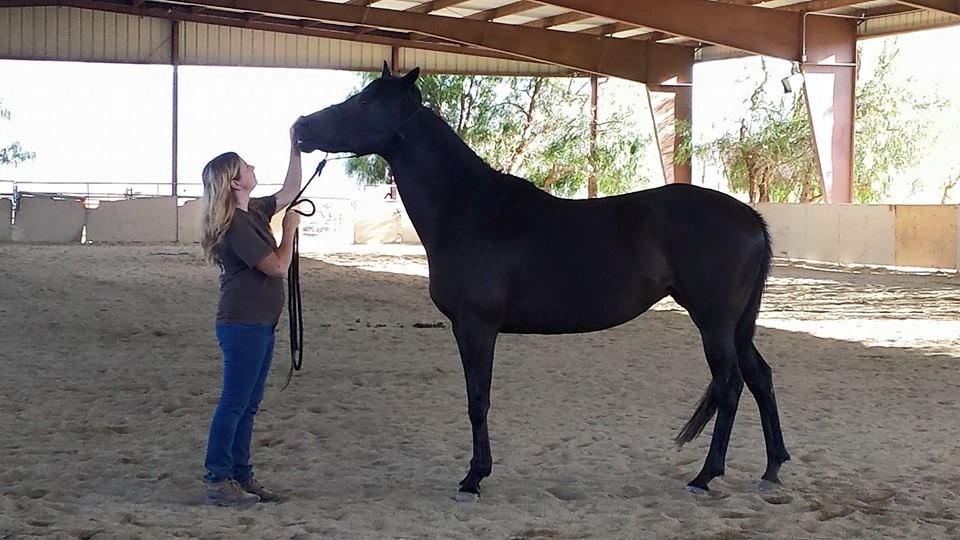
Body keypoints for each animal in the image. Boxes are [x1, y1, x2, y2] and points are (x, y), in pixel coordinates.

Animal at [294, 63, 790, 500]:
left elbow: (478, 399)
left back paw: (705, 476)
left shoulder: (475, 327)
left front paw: (473, 478)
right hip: (736, 327)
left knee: (730, 386)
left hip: (713, 323)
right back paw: (771, 470)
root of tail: (750, 217)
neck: (469, 209)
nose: (300, 126)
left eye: (365, 101)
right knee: (759, 377)